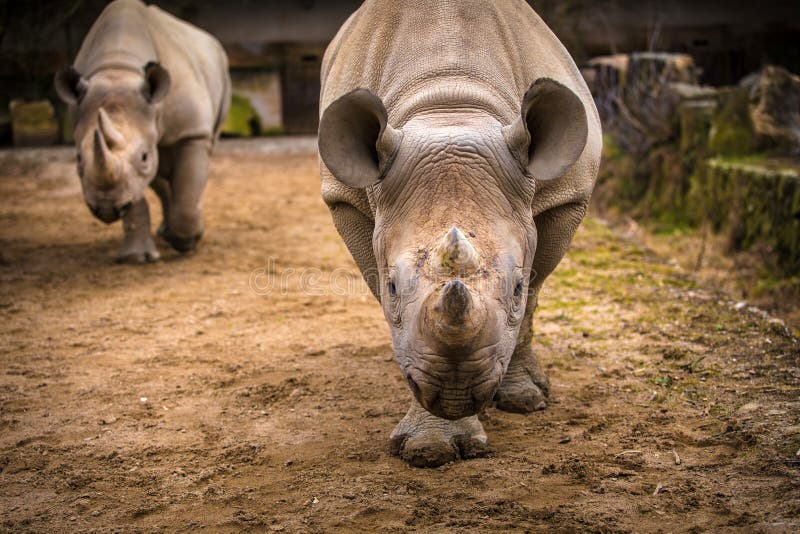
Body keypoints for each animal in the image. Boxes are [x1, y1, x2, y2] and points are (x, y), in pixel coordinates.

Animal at [54, 0, 230, 262]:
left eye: (144, 156)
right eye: (78, 159)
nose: (106, 207)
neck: (118, 69)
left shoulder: (193, 132)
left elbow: (187, 184)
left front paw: (187, 241)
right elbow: (134, 192)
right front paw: (136, 258)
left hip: (221, 74)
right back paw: (165, 232)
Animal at [319, 0, 601, 467]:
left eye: (515, 286)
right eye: (393, 286)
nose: (456, 391)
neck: (451, 106)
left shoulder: (568, 194)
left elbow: (534, 293)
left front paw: (524, 400)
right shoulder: (345, 198)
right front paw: (432, 446)